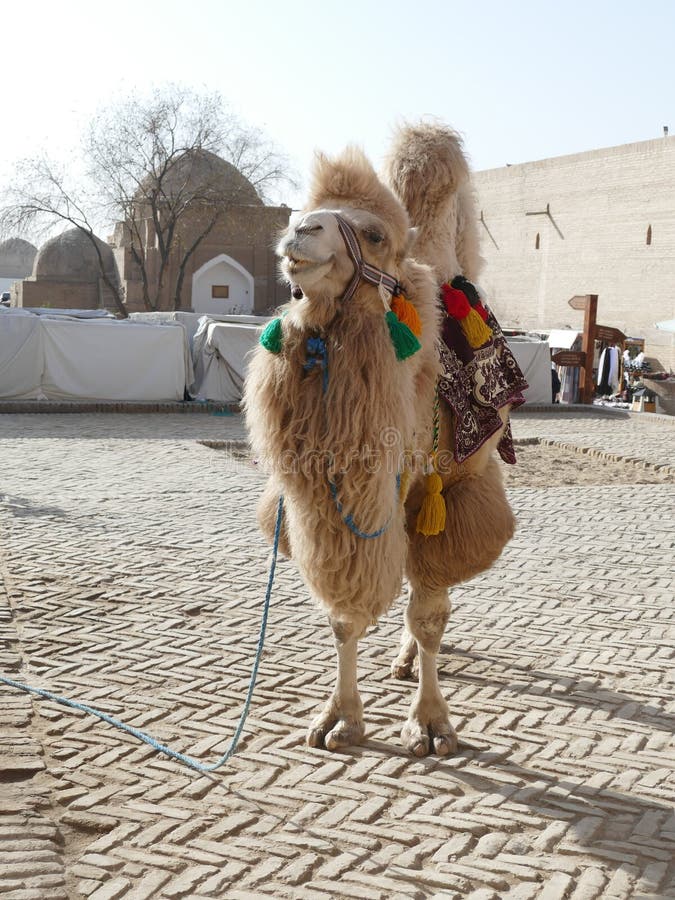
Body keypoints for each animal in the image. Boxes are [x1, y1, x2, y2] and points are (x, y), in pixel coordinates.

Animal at [244, 128, 524, 756]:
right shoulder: (328, 512)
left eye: (372, 234)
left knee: (429, 592)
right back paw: (400, 660)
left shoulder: (444, 495)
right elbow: (343, 618)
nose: (300, 231)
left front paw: (431, 724)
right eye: (300, 212)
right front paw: (339, 719)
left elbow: (431, 617)